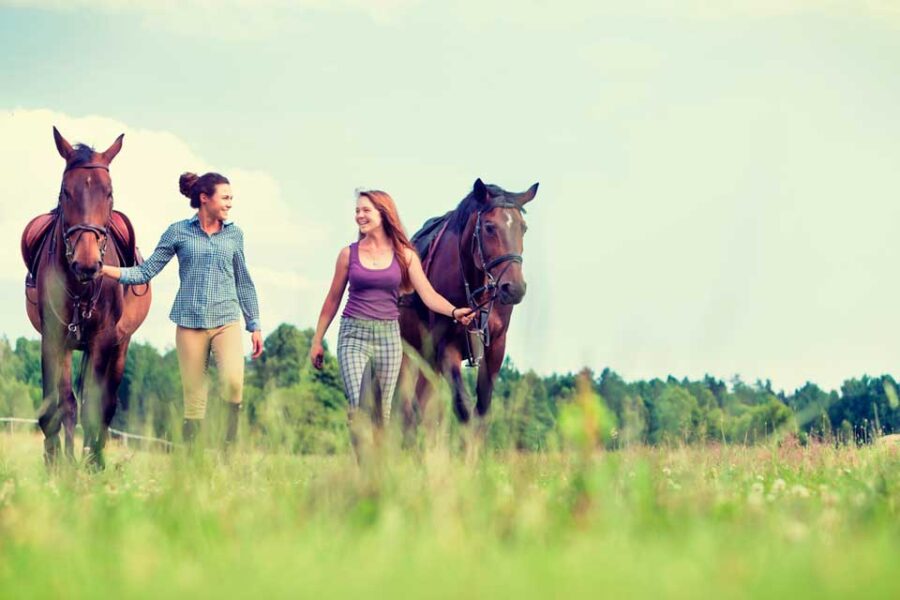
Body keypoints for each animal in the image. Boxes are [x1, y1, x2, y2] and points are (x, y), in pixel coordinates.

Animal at [20, 127, 151, 467]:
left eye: (109, 193)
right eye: (66, 192)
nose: (87, 263)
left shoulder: (103, 340)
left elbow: (93, 407)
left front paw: (90, 465)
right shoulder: (54, 337)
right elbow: (59, 406)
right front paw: (58, 463)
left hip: (120, 346)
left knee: (107, 405)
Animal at [399, 178, 538, 436]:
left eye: (523, 228)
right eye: (489, 227)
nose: (514, 288)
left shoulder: (496, 347)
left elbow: (482, 409)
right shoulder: (446, 347)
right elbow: (463, 406)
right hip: (407, 354)